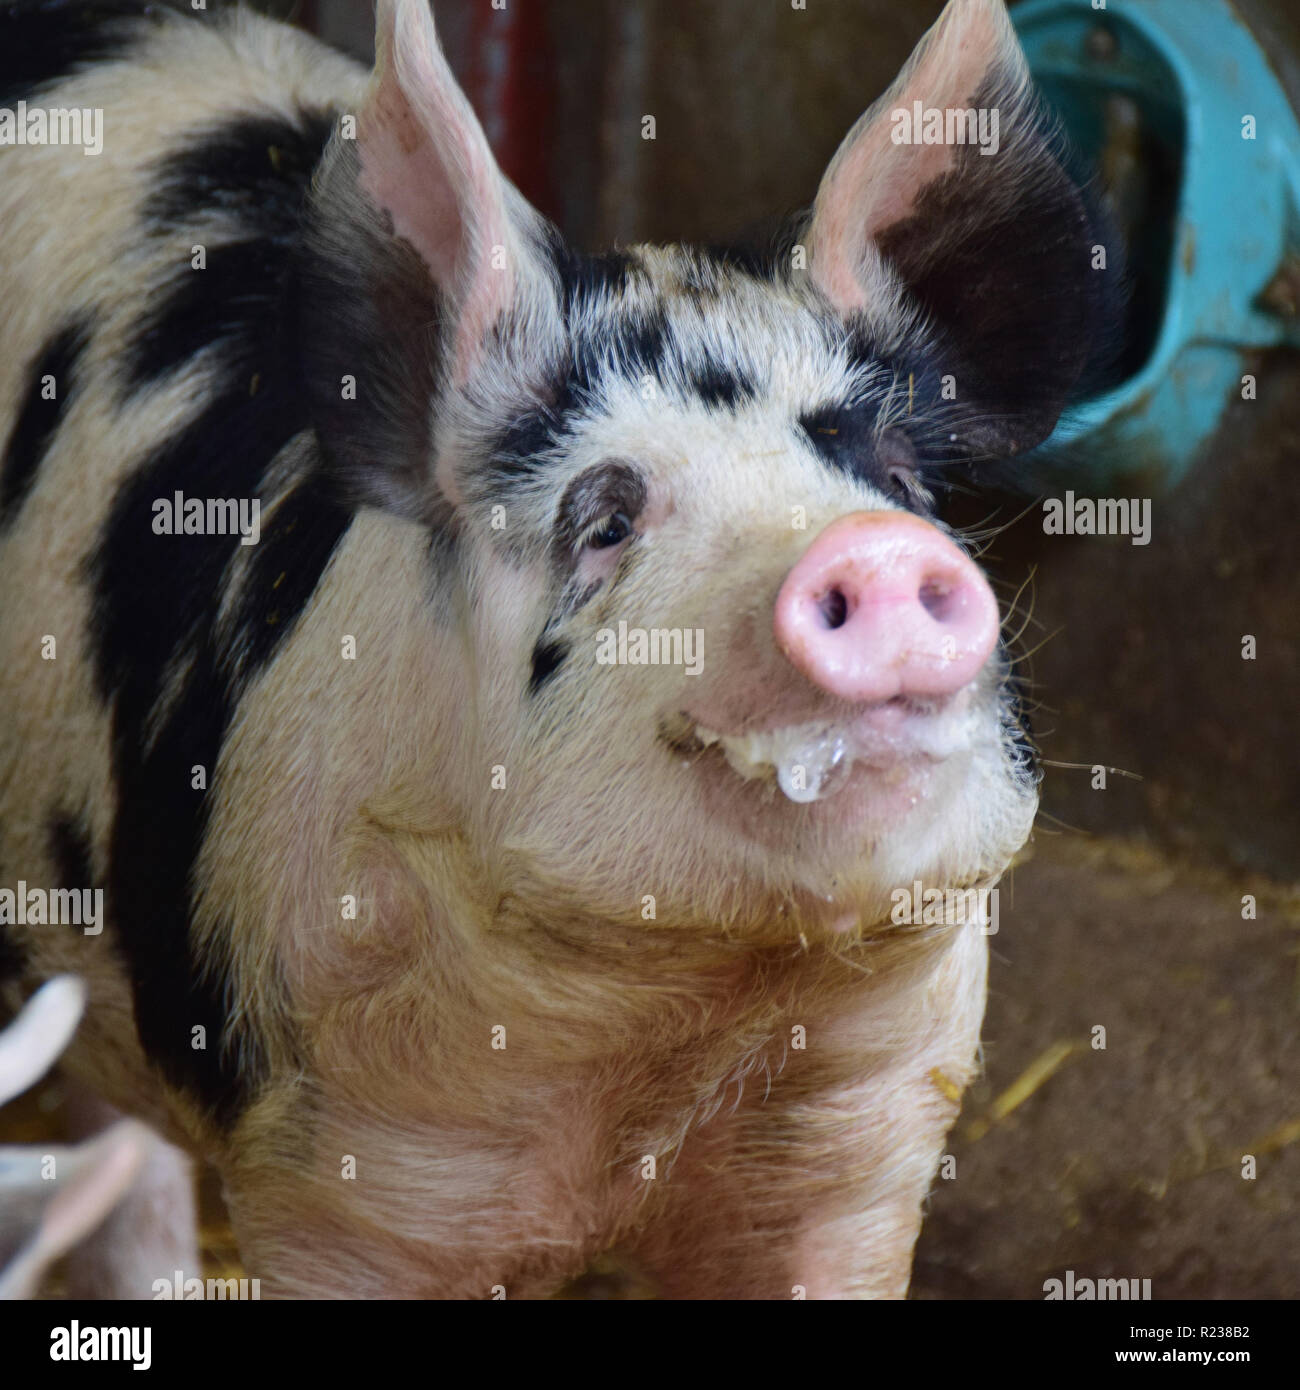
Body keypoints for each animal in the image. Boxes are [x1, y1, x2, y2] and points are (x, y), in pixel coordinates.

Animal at [0, 0, 1112, 1297]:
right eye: (606, 515)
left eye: (895, 475)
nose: (869, 546)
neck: (682, 1029)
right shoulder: (336, 1179)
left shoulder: (866, 1138)